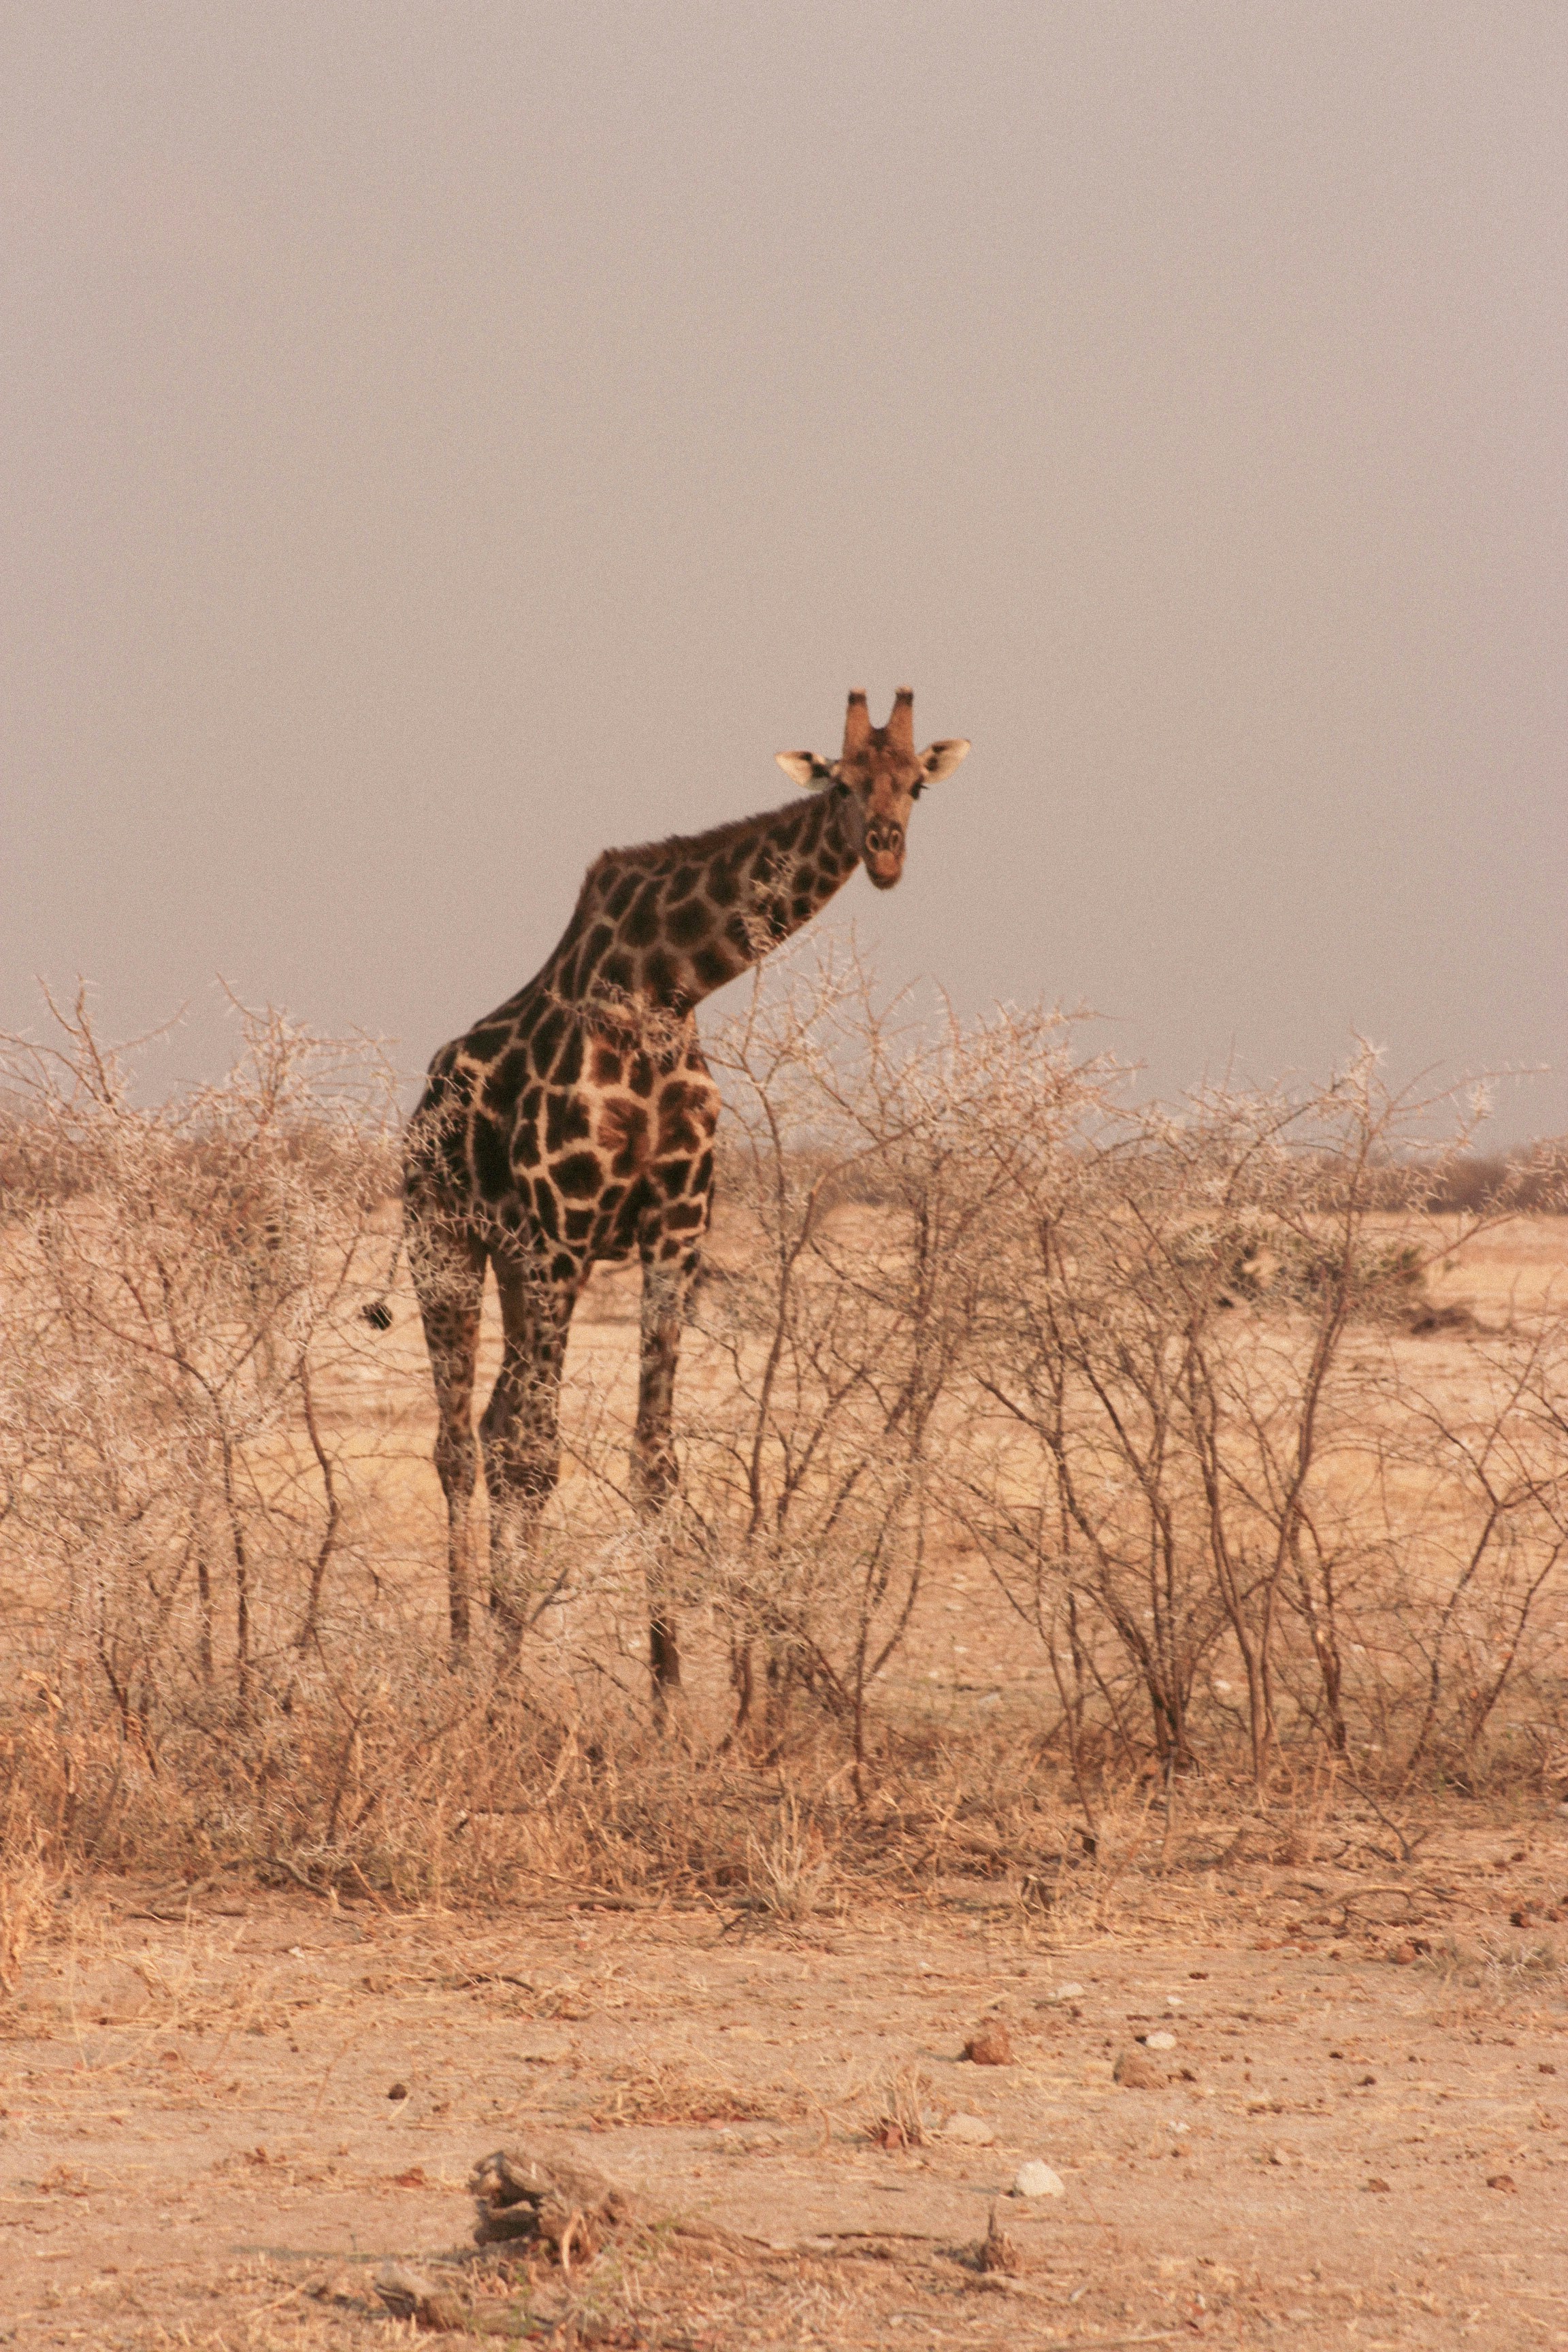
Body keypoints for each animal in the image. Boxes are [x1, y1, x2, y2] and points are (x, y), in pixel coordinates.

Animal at [400, 687, 970, 1698]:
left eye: (917, 786)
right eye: (842, 783)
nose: (886, 851)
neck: (664, 995)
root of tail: (419, 1105)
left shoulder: (671, 1239)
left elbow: (654, 1459)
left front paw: (668, 1694)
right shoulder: (563, 1236)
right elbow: (538, 1457)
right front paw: (507, 1694)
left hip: (514, 1260)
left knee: (493, 1426)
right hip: (446, 1240)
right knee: (460, 1444)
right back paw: (470, 1661)